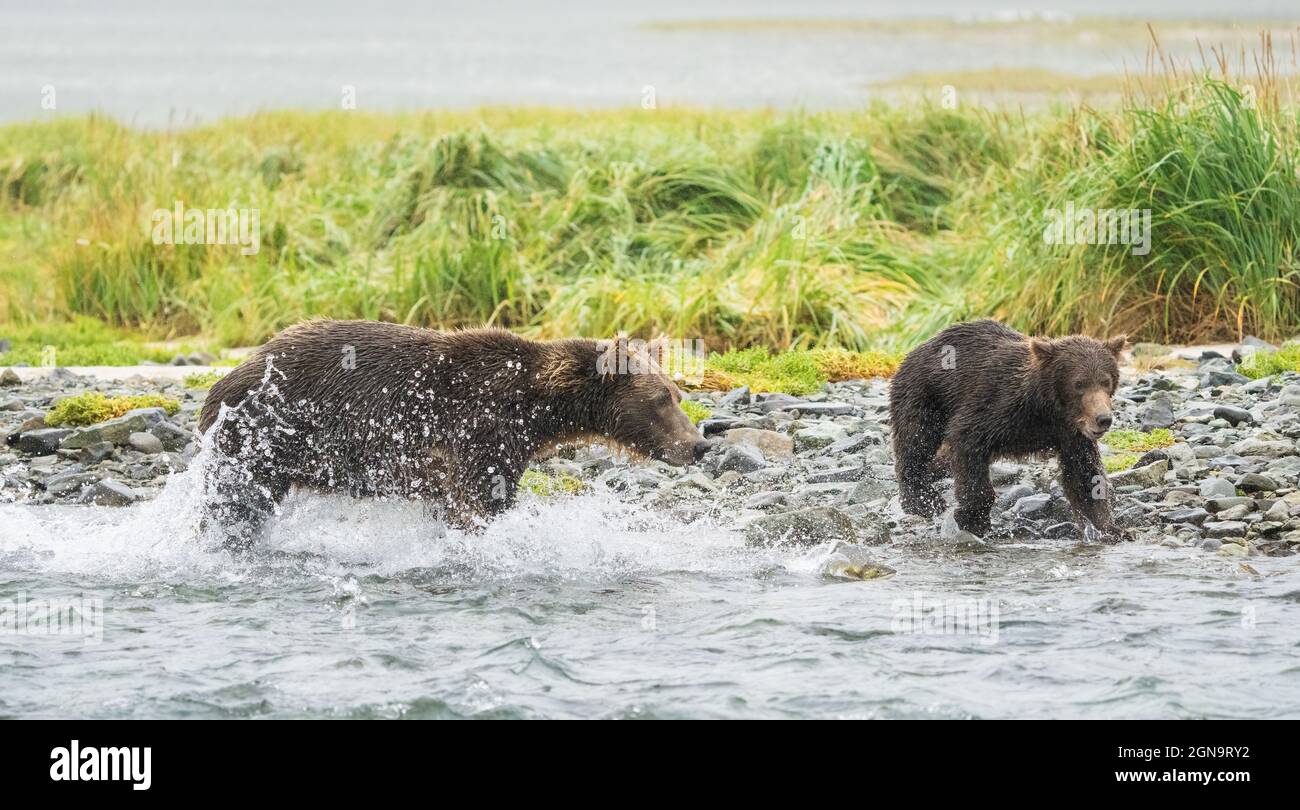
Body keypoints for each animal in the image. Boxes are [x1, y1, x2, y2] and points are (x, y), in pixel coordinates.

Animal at [197, 320, 710, 548]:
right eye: (662, 399)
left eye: (676, 394)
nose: (699, 445)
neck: (538, 408)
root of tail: (222, 381)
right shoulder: (478, 431)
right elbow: (477, 502)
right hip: (260, 439)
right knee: (235, 502)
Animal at [888, 319, 1127, 539]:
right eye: (1079, 384)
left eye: (1105, 381)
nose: (1103, 419)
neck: (1045, 409)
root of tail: (919, 348)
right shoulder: (996, 406)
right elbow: (967, 441)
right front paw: (973, 520)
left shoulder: (1071, 434)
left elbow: (1085, 477)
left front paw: (1108, 529)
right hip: (924, 395)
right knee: (916, 443)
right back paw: (921, 500)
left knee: (942, 458)